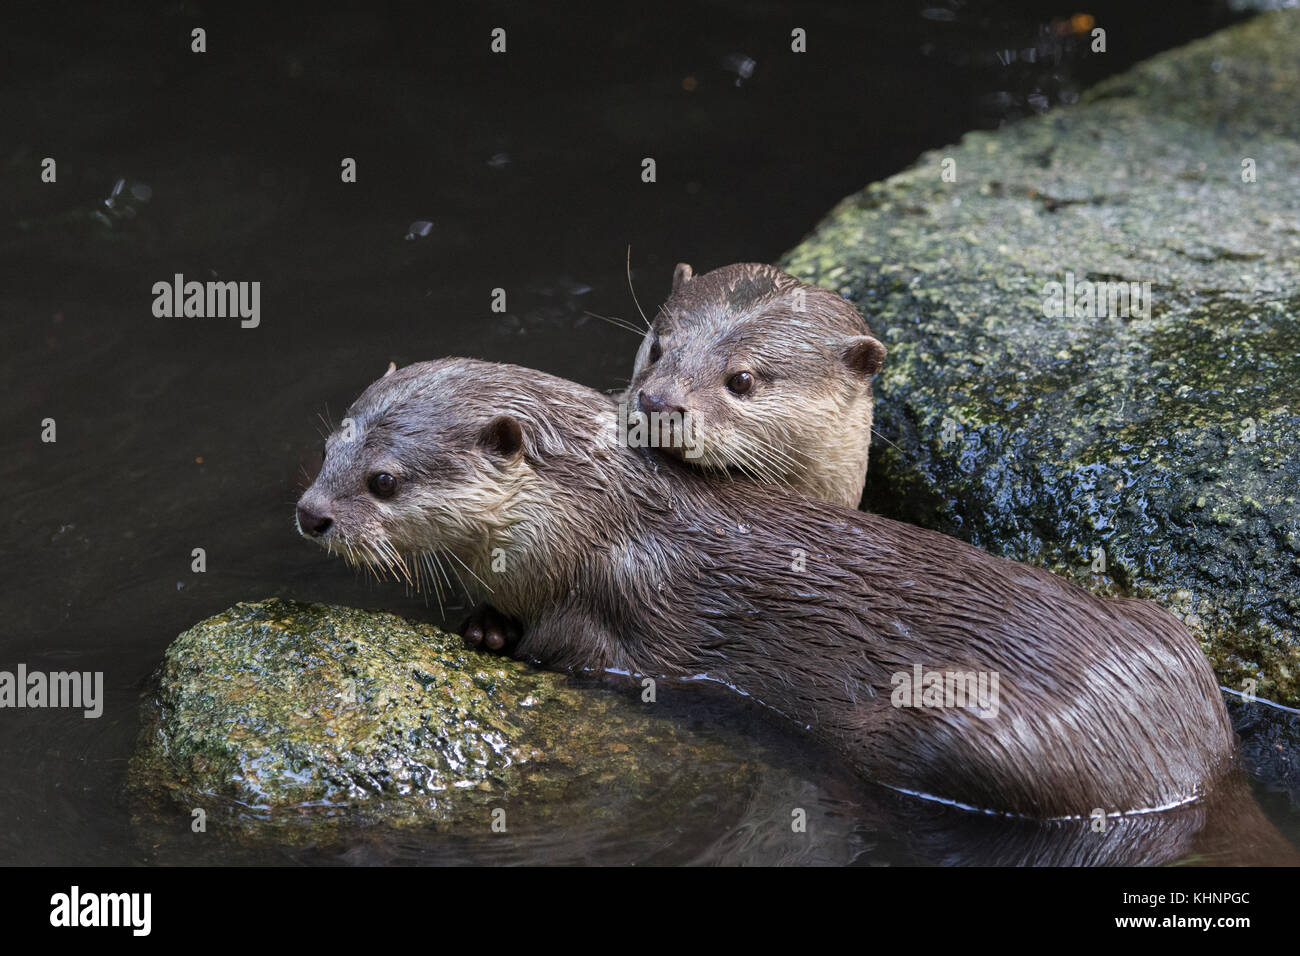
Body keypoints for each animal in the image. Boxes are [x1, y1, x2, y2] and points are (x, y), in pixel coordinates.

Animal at [296, 358, 1237, 820]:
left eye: (384, 480)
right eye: (329, 446)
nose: (311, 514)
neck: (596, 522)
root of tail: (1188, 759)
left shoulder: (620, 600)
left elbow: (583, 652)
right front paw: (487, 623)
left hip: (968, 734)